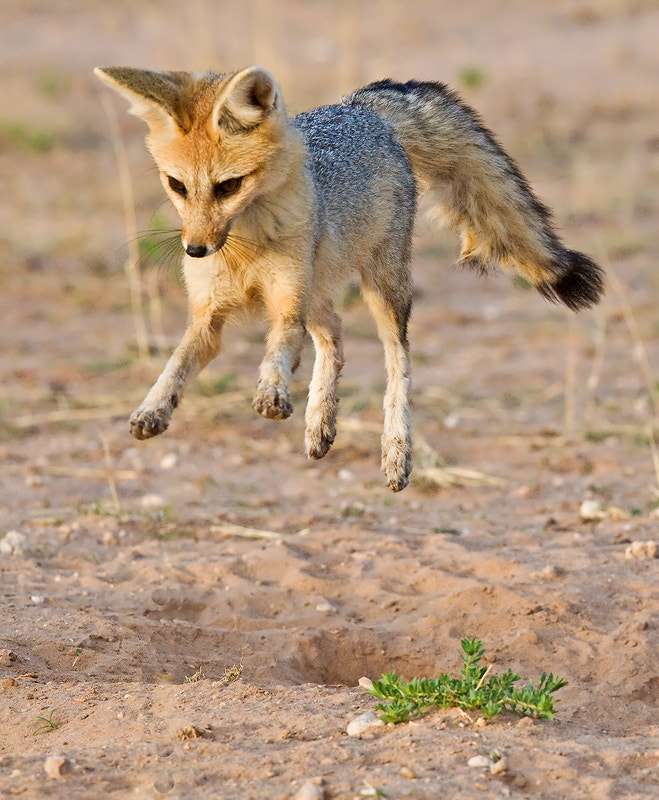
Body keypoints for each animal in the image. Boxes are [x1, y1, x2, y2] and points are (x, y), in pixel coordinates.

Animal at [95, 65, 603, 492]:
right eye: (176, 186)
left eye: (228, 186)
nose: (195, 250)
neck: (245, 248)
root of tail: (359, 107)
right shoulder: (209, 316)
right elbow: (176, 363)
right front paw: (153, 408)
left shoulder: (287, 306)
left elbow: (278, 352)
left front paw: (272, 389)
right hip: (321, 293)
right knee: (335, 339)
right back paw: (320, 422)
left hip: (381, 288)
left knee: (398, 359)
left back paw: (395, 451)